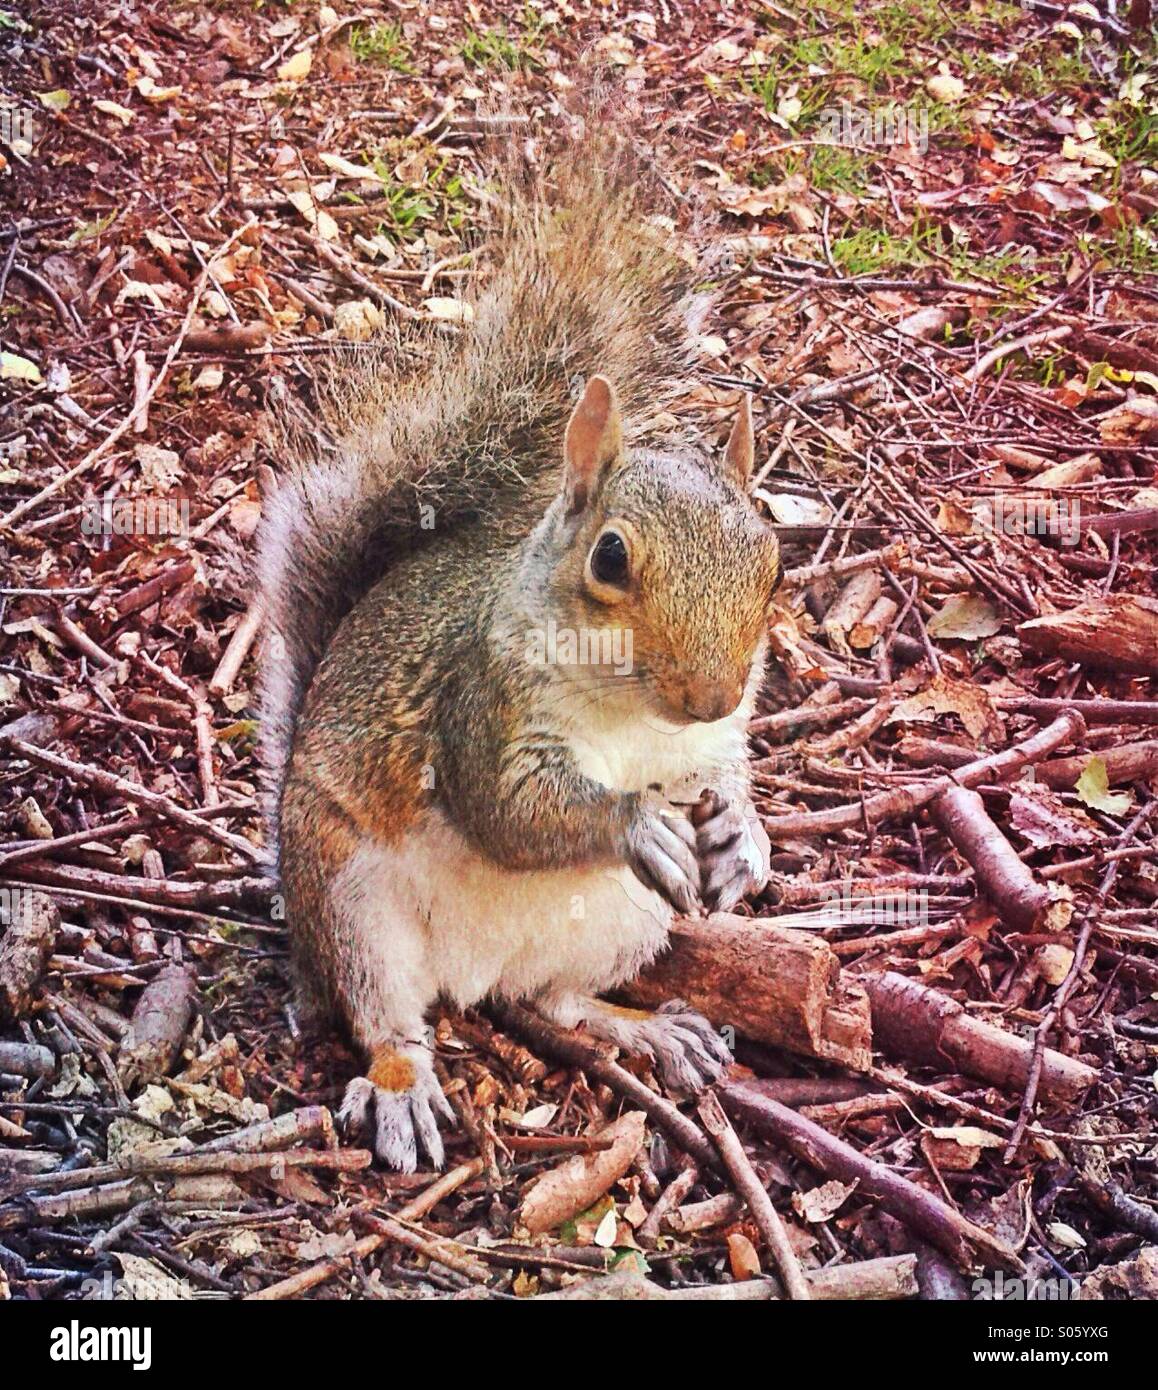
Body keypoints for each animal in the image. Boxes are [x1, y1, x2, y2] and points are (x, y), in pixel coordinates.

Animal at [254, 122, 782, 1171]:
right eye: (610, 556)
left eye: (775, 557)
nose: (707, 695)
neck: (635, 722)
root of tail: (470, 973)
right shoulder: (481, 701)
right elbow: (508, 809)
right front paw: (636, 822)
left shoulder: (713, 742)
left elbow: (727, 775)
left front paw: (741, 838)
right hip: (347, 899)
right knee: (384, 1018)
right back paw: (405, 1085)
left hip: (620, 922)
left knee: (556, 1001)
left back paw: (650, 1029)